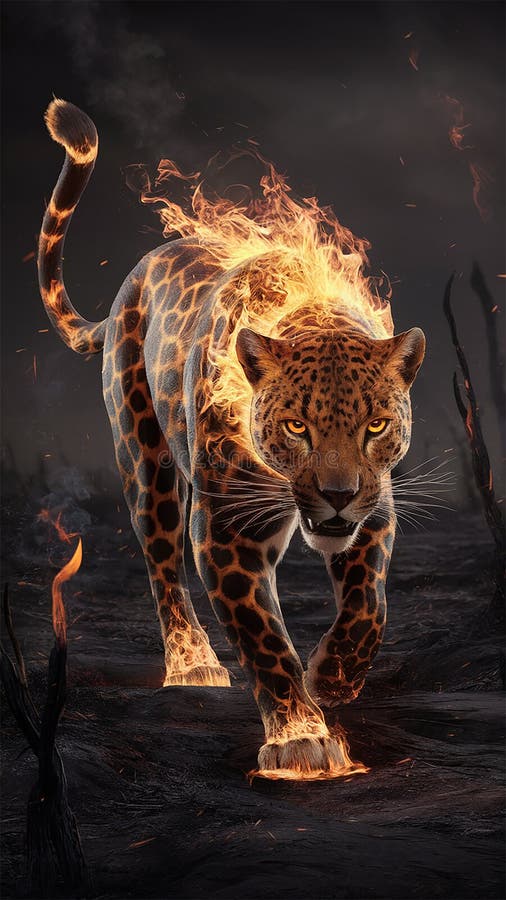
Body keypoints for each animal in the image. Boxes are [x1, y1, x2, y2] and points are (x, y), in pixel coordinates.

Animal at [38, 99, 425, 777]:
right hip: (147, 463)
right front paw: (299, 737)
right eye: (297, 427)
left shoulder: (376, 511)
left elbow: (369, 603)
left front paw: (334, 678)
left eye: (375, 425)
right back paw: (192, 663)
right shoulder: (226, 532)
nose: (339, 495)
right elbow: (263, 639)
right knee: (162, 566)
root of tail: (134, 277)